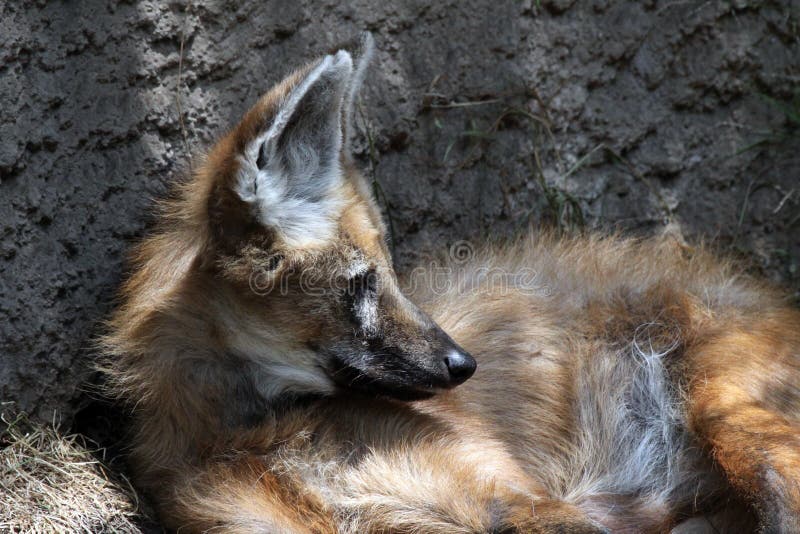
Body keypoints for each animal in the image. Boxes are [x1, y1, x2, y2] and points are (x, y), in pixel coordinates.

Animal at [102, 34, 800, 533]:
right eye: (362, 282)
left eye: (394, 270)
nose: (463, 363)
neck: (262, 434)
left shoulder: (520, 502)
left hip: (731, 419)